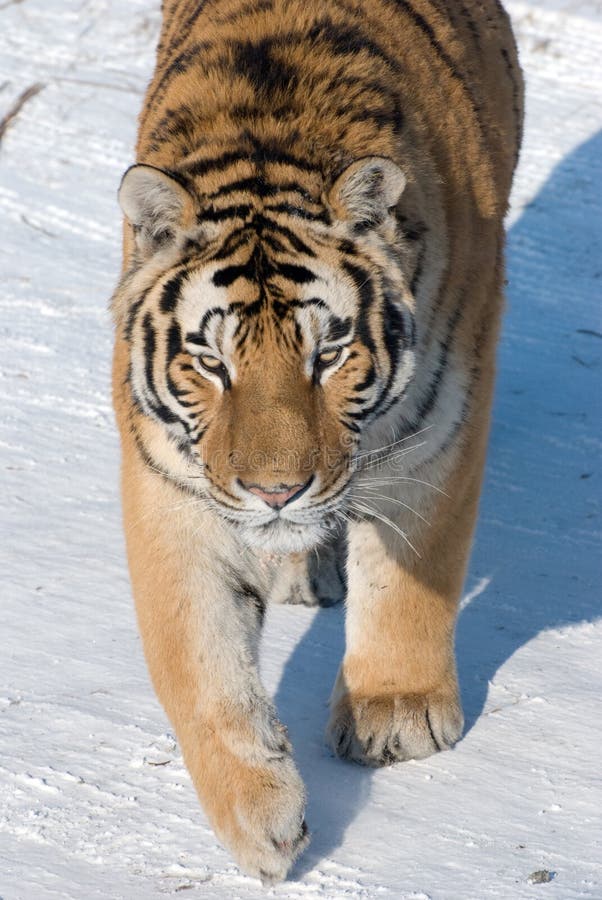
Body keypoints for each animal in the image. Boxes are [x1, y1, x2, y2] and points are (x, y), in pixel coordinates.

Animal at [110, 0, 523, 883]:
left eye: (328, 354)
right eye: (211, 363)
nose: (276, 493)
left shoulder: (439, 431)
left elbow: (412, 579)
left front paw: (395, 715)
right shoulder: (171, 484)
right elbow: (195, 656)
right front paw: (259, 818)